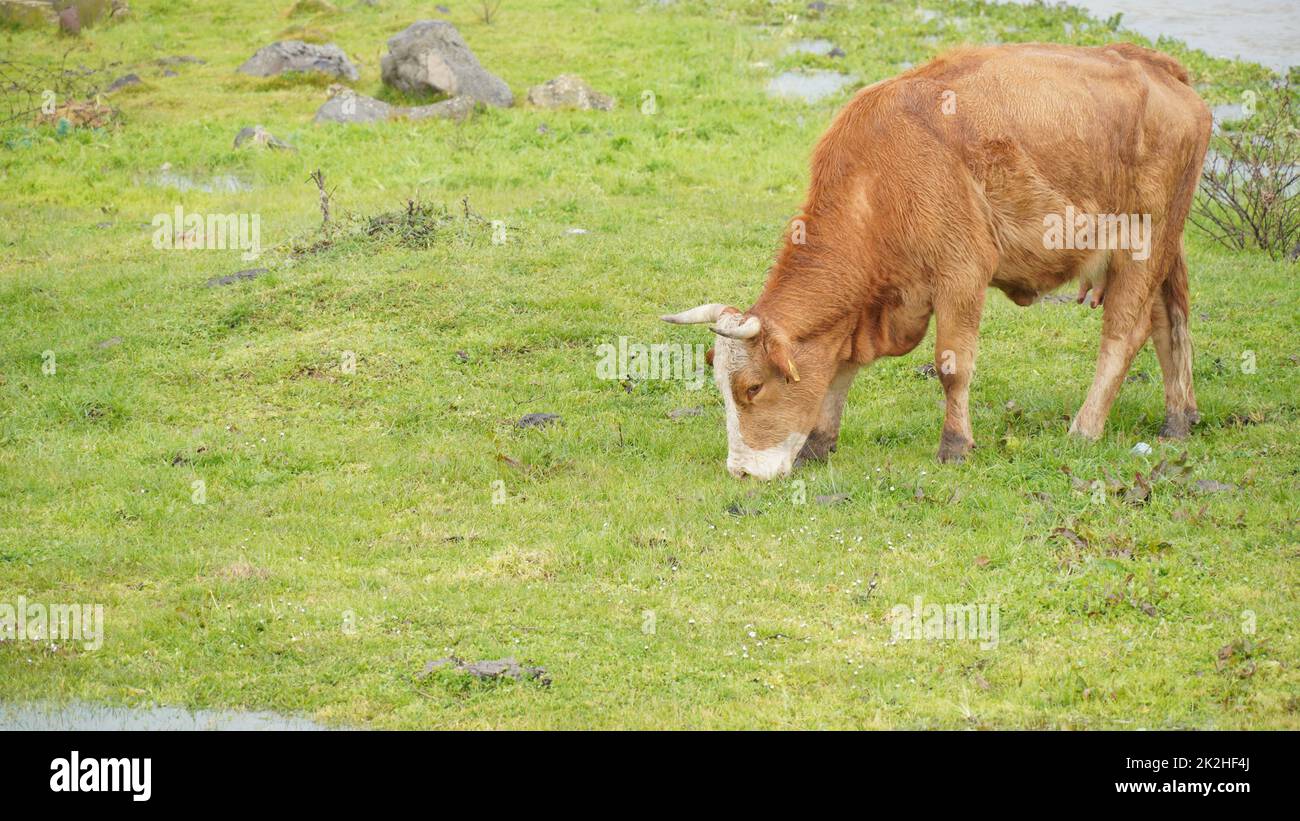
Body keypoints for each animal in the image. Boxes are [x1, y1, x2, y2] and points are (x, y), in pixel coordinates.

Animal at [663, 43, 1211, 480]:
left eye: (752, 387)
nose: (741, 472)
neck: (877, 182)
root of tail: (1156, 65)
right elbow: (840, 368)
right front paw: (819, 442)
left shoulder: (962, 274)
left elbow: (952, 368)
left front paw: (955, 446)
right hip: (1165, 248)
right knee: (1170, 323)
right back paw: (1178, 420)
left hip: (1144, 242)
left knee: (1123, 335)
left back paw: (1085, 427)